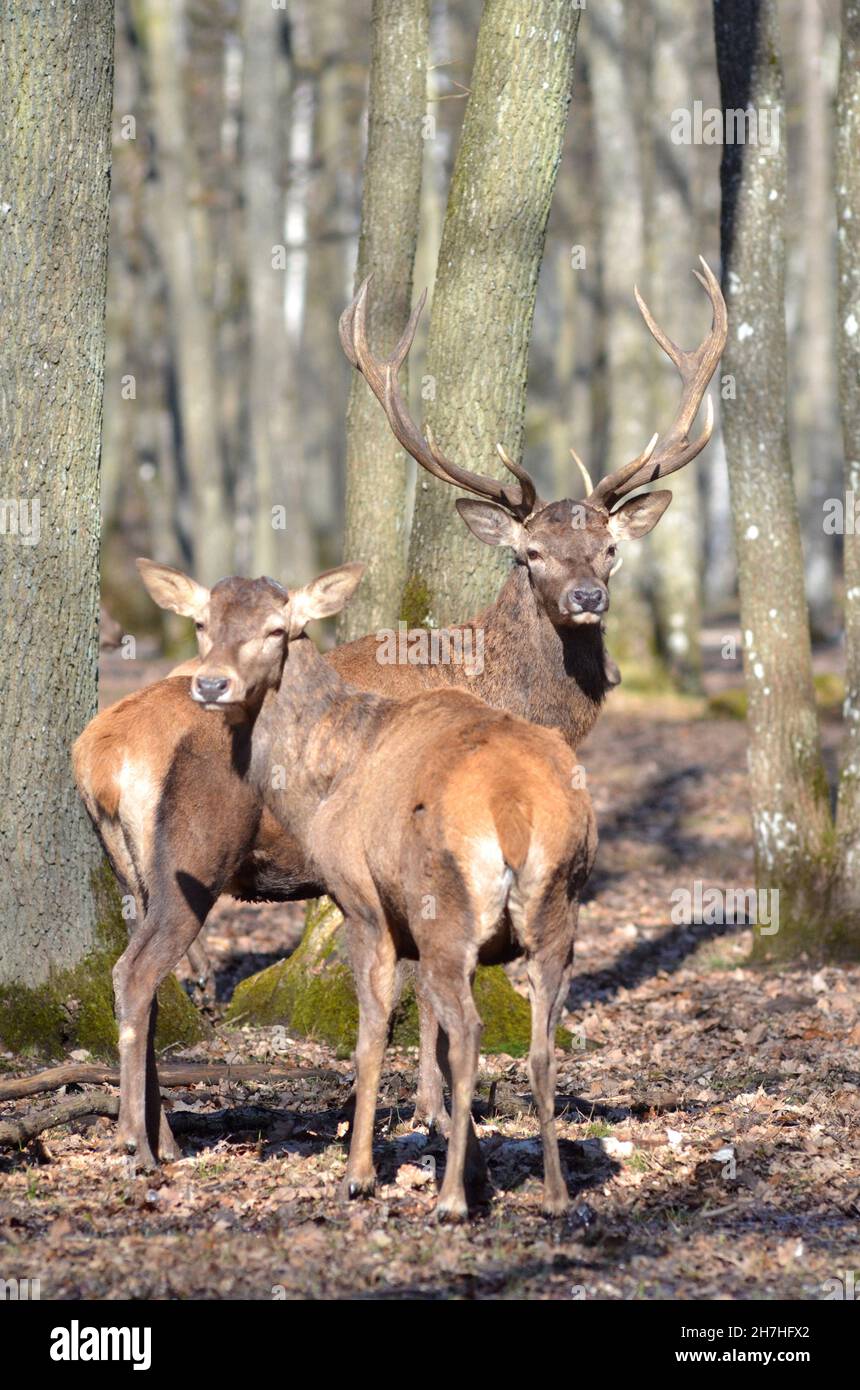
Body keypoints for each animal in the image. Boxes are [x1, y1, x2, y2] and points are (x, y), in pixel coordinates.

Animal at [131, 557, 598, 1219]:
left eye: (277, 629)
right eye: (202, 623)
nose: (213, 684)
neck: (324, 779)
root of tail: (515, 810)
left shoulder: (362, 904)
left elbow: (372, 1038)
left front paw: (360, 1174)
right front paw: (473, 1165)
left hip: (445, 911)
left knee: (470, 1032)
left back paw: (449, 1201)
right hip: (559, 911)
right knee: (541, 1043)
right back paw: (555, 1194)